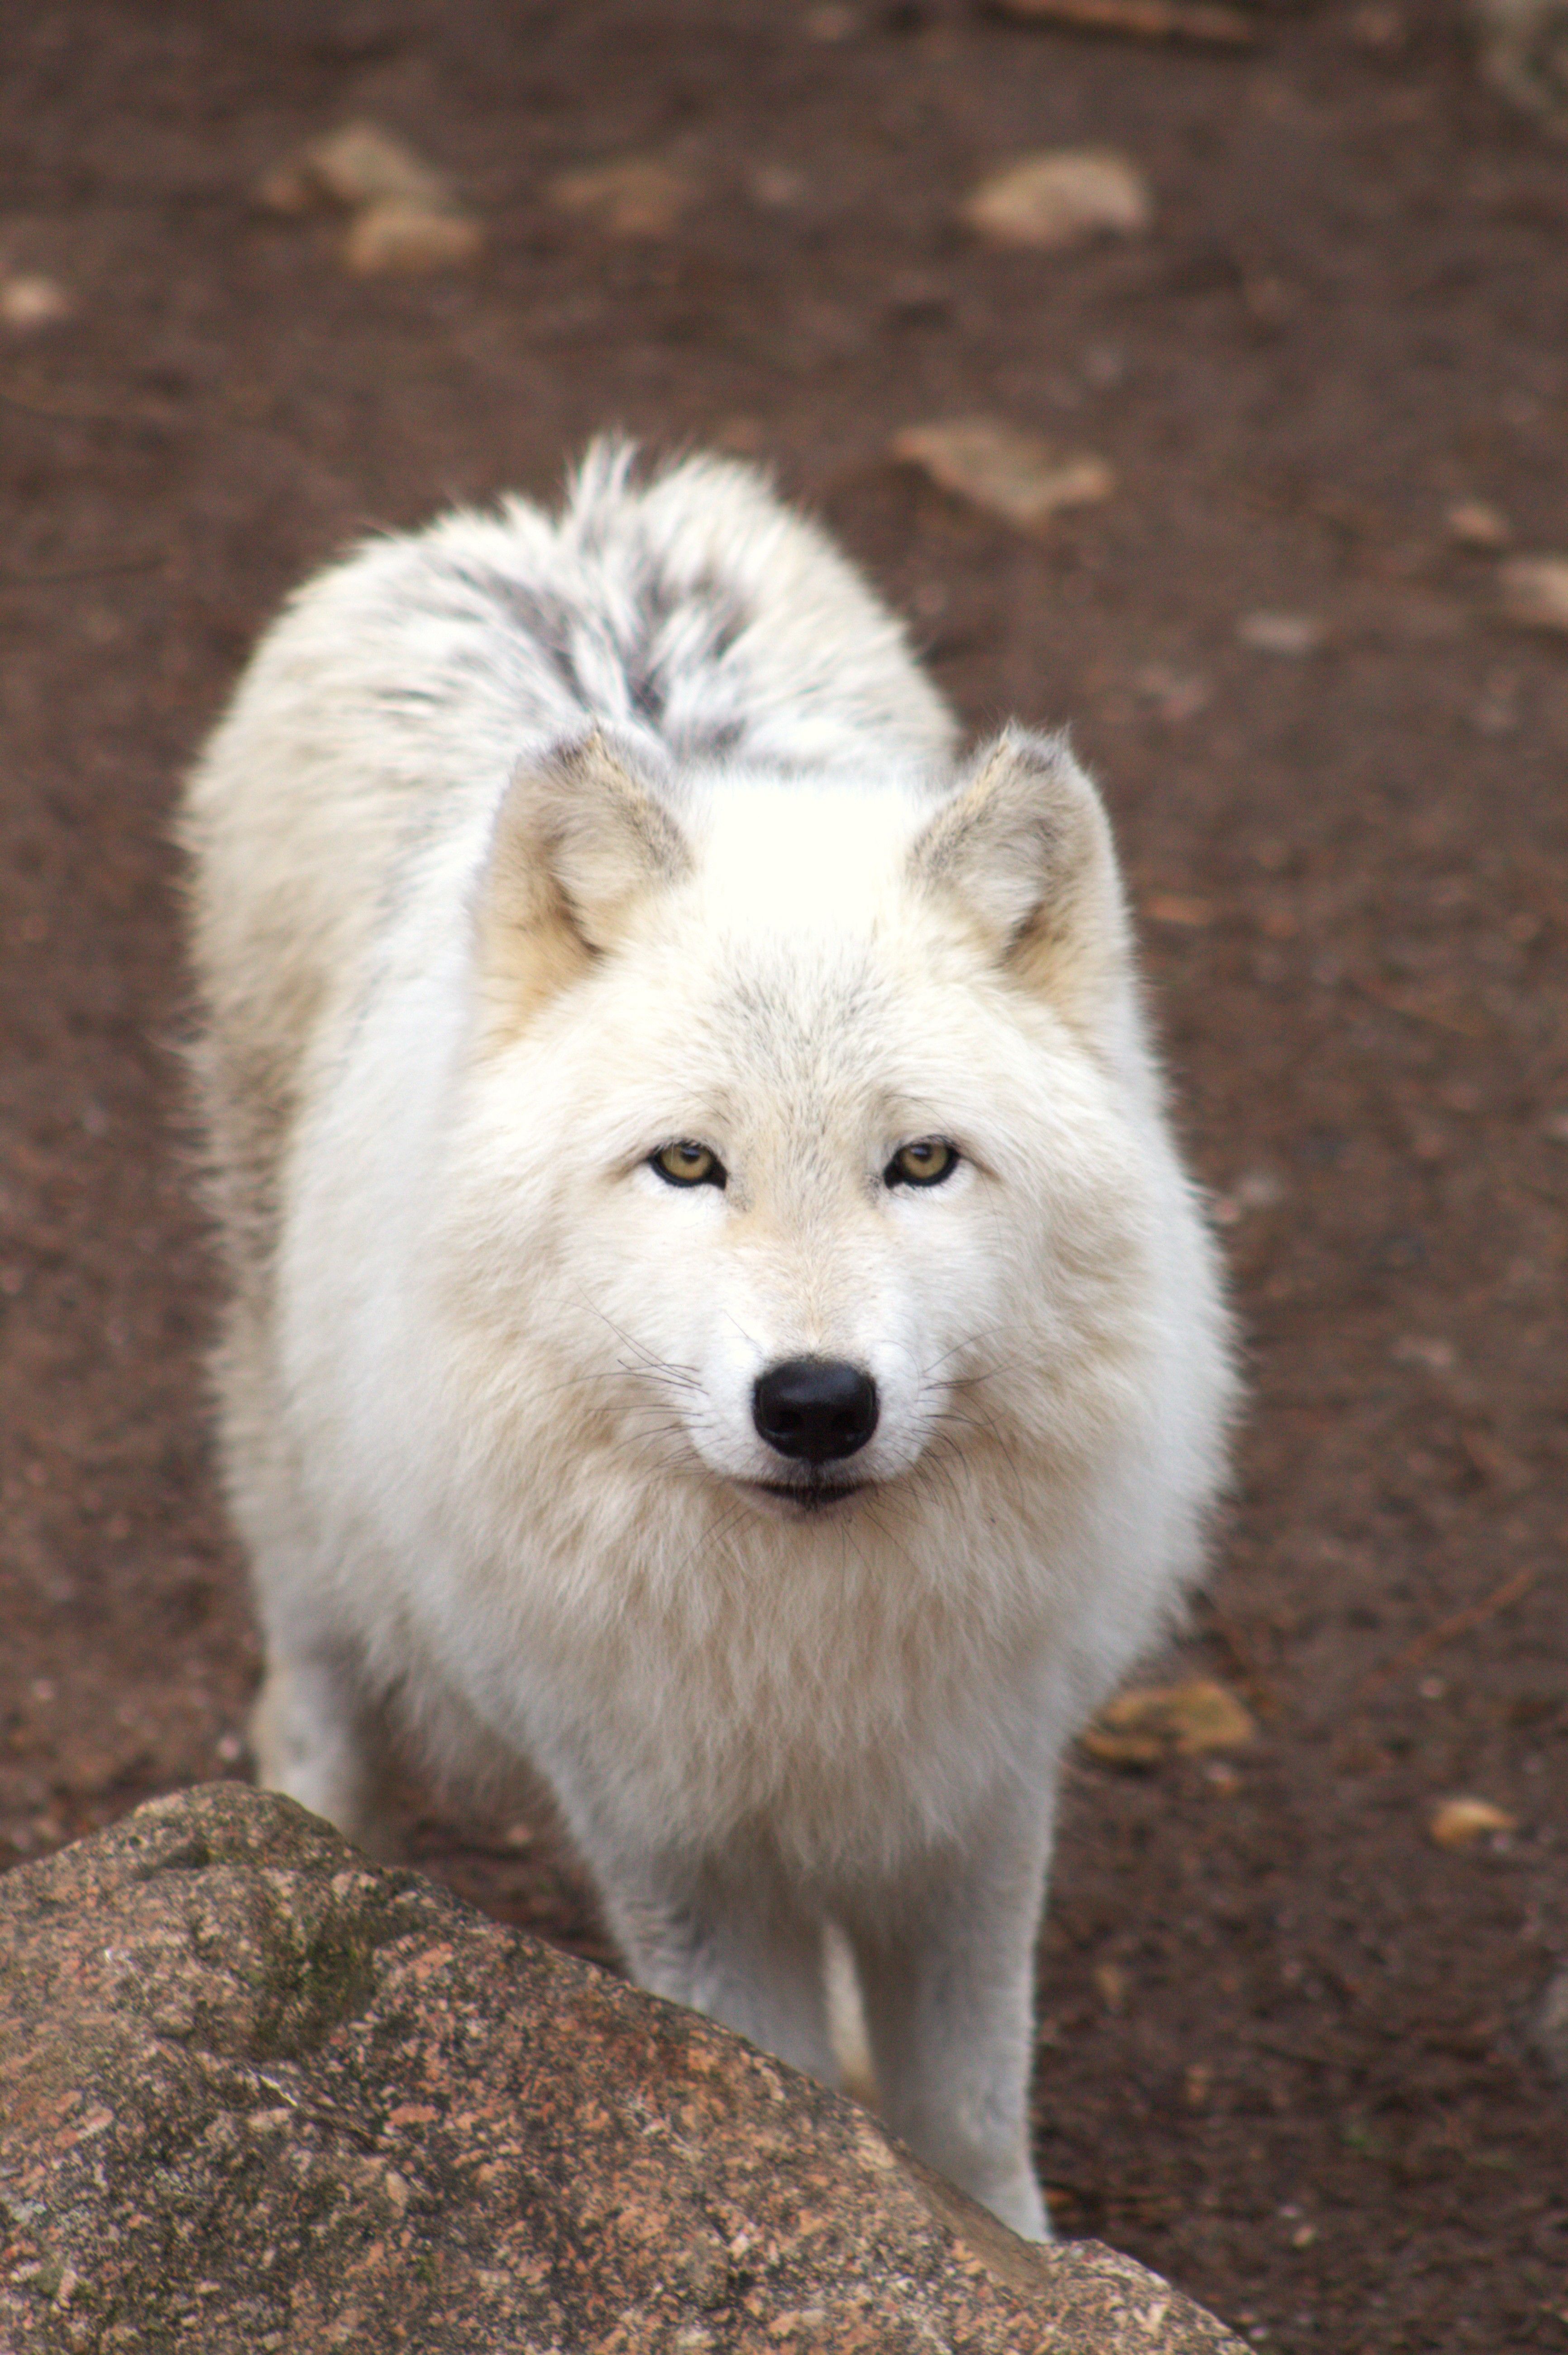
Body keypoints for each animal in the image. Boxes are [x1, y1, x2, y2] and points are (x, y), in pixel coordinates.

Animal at [181, 443, 1234, 2239]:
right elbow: (766, 2077)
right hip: (296, 1439)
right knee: (312, 1687)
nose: (814, 1402)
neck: (798, 1629)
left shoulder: (974, 1801)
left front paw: (996, 2249)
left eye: (920, 1162)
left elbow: (966, 2114)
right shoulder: (662, 1831)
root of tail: (552, 515)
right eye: (686, 1163)